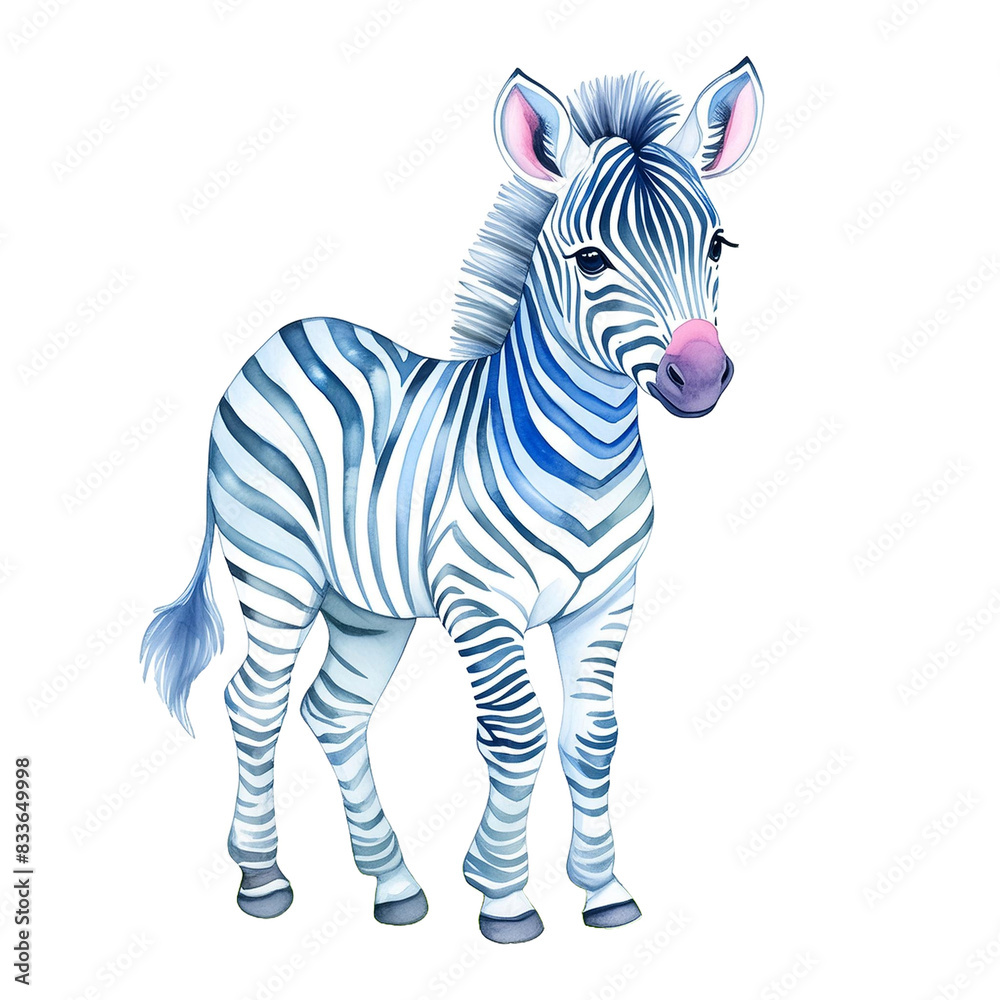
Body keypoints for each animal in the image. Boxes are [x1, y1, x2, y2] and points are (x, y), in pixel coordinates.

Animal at [141, 60, 763, 944]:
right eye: (591, 260)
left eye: (716, 244)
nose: (701, 377)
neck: (587, 455)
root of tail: (282, 337)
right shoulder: (479, 602)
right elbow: (517, 733)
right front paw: (504, 896)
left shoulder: (606, 599)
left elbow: (592, 737)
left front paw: (602, 890)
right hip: (275, 570)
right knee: (253, 702)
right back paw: (262, 876)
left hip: (366, 606)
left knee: (334, 710)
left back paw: (394, 882)